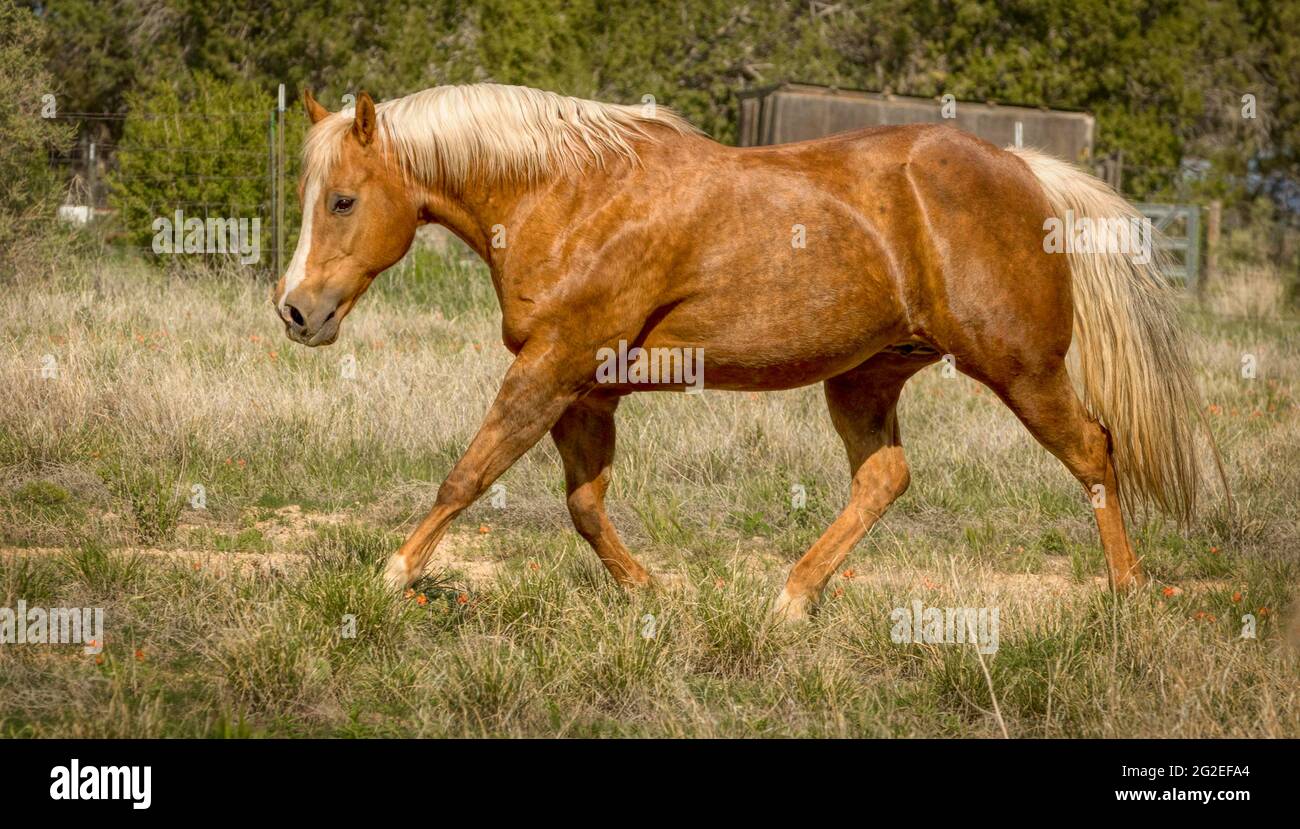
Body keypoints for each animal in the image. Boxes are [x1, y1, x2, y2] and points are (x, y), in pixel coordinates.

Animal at [271, 83, 1223, 620]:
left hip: (1020, 368)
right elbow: (584, 505)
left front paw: (389, 576)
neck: (573, 194)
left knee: (1094, 451)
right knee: (884, 478)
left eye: (344, 199)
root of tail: (1027, 173)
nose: (296, 312)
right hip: (866, 376)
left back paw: (1128, 598)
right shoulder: (587, 388)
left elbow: (468, 474)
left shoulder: (552, 365)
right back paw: (791, 600)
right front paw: (653, 594)